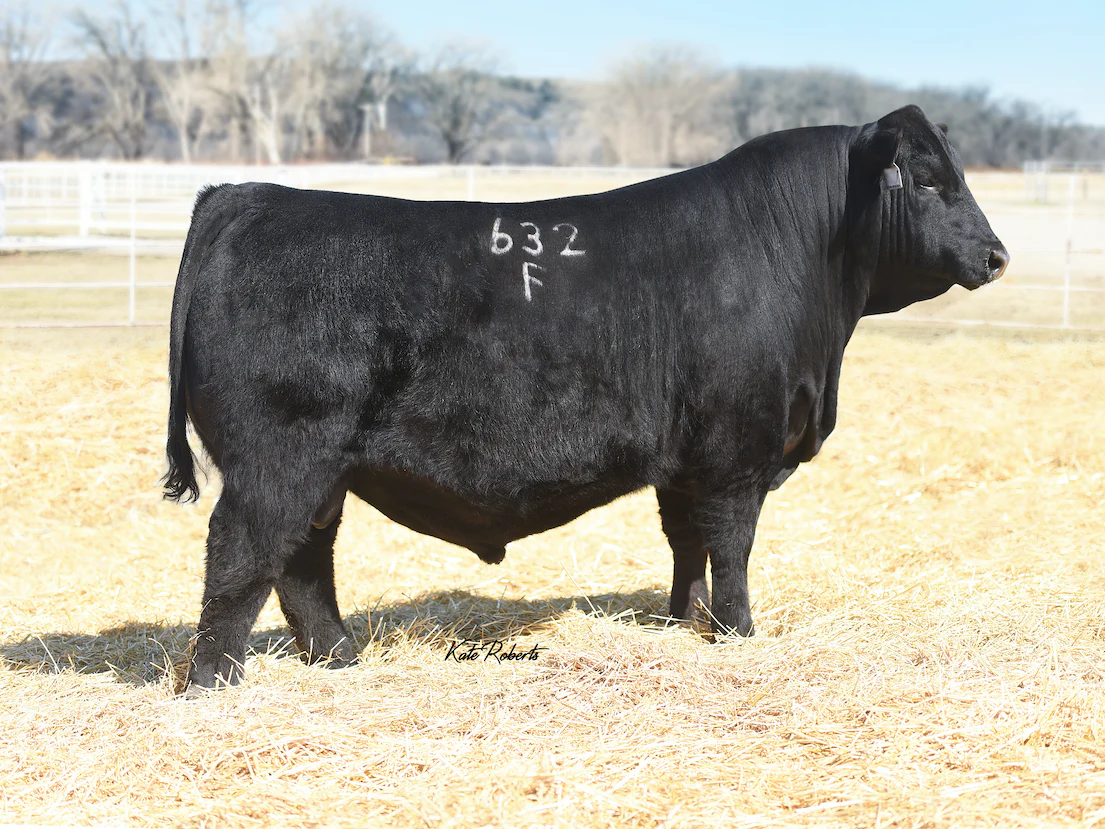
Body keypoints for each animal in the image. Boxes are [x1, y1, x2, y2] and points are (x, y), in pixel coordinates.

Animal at [165, 105, 1008, 692]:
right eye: (929, 181)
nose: (997, 256)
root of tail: (245, 196)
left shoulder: (685, 459)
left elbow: (685, 543)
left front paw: (680, 620)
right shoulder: (738, 453)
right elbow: (731, 548)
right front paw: (737, 632)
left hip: (321, 465)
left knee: (304, 557)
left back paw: (339, 656)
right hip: (280, 453)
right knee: (243, 548)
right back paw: (214, 679)